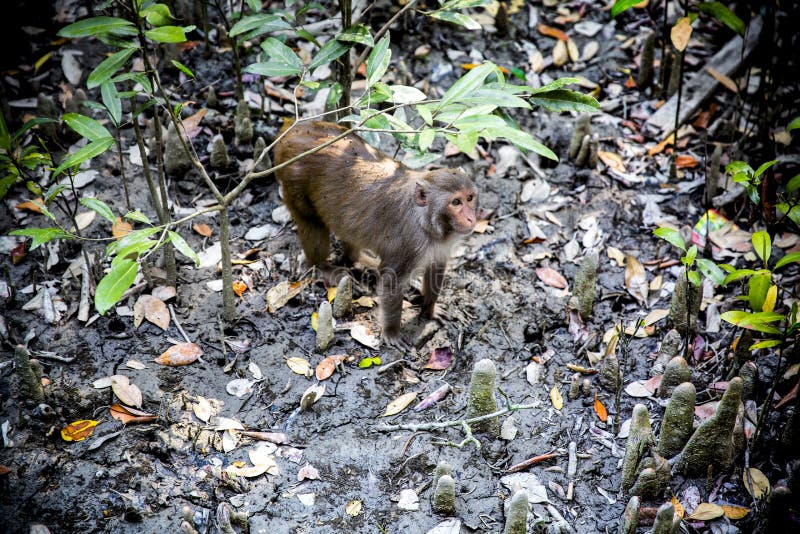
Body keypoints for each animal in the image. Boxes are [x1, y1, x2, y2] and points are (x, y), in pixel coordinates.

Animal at [274, 121, 478, 350]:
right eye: (456, 202)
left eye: (470, 198)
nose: (471, 218)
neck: (427, 221)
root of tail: (293, 130)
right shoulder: (409, 243)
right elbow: (392, 281)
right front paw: (391, 332)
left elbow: (436, 269)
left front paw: (430, 310)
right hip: (293, 176)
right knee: (312, 222)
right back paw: (324, 267)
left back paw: (360, 260)